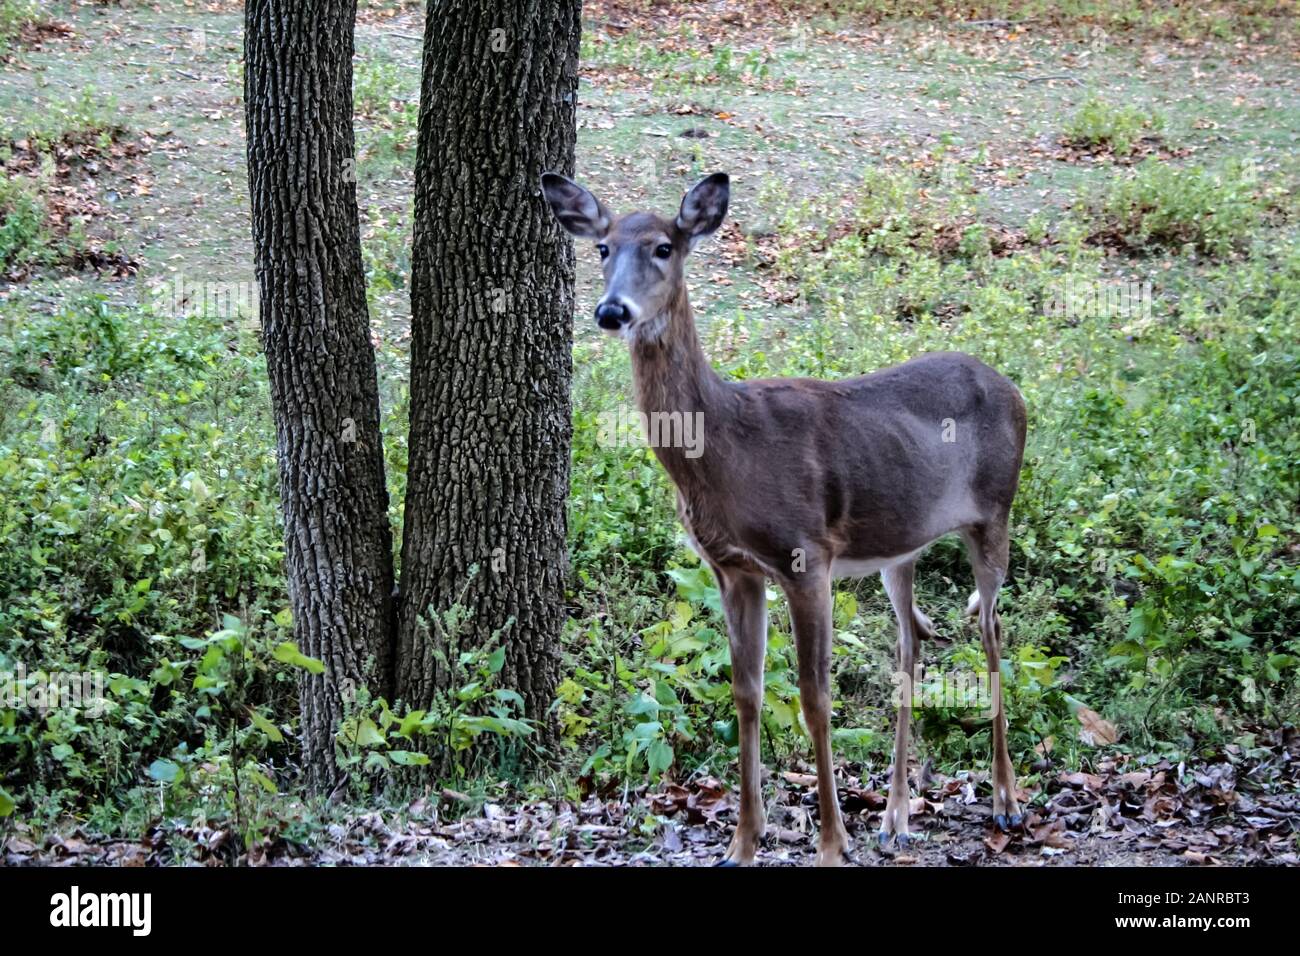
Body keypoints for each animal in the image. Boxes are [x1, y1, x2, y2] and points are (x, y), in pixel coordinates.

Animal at [542, 170, 1028, 866]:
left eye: (664, 246)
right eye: (603, 247)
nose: (613, 311)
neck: (726, 445)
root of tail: (1013, 388)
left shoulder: (806, 555)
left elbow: (814, 698)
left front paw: (830, 841)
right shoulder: (733, 569)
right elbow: (746, 693)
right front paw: (743, 841)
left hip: (995, 511)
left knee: (991, 630)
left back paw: (1006, 801)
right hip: (900, 547)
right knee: (910, 642)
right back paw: (896, 816)